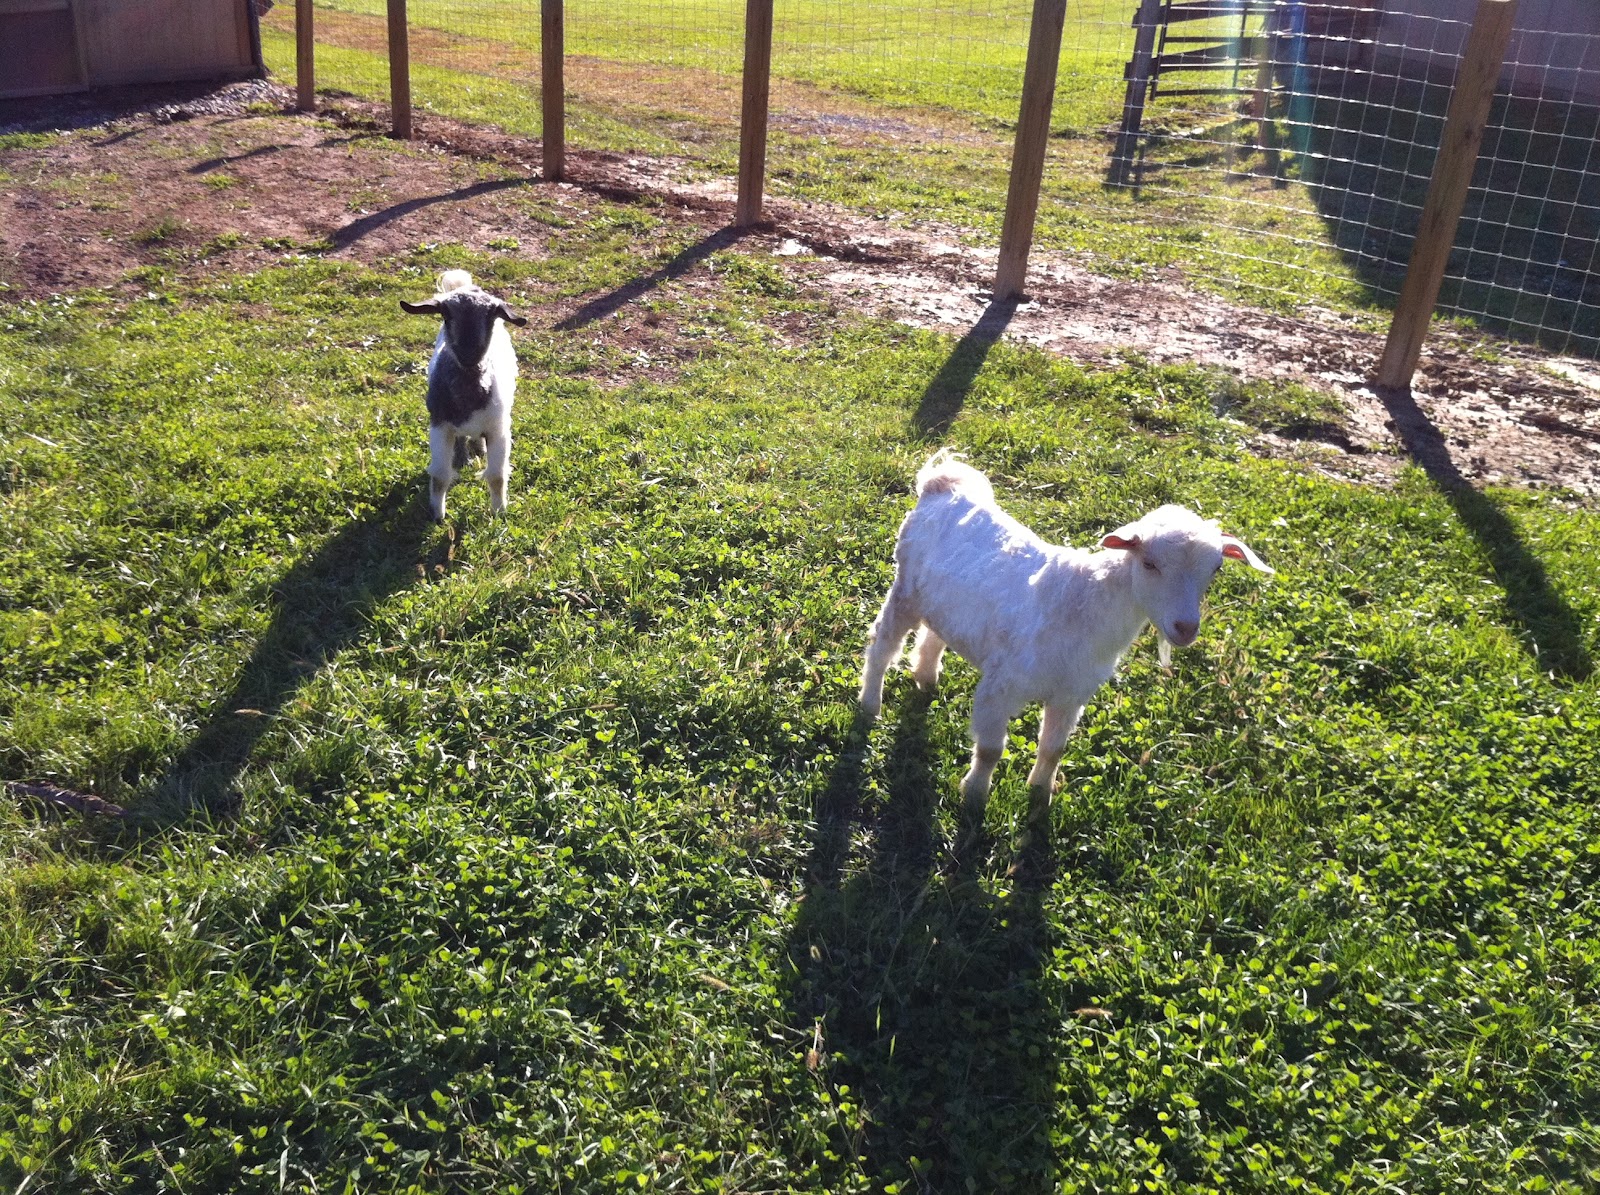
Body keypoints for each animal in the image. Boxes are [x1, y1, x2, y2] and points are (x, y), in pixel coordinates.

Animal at [400, 270, 527, 520]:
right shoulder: (439, 426)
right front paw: (437, 515)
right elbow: (440, 475)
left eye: (492, 315)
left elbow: (496, 476)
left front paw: (499, 512)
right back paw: (462, 456)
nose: (469, 354)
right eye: (445, 315)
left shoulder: (498, 429)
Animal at [858, 452, 1273, 818]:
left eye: (1216, 568)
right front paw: (975, 796)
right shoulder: (1001, 686)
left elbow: (1052, 750)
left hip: (945, 602)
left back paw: (926, 678)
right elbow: (991, 751)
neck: (1083, 602)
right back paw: (869, 706)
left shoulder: (1072, 694)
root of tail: (944, 484)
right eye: (1149, 563)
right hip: (905, 589)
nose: (1186, 628)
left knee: (934, 635)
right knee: (883, 645)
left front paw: (1040, 793)